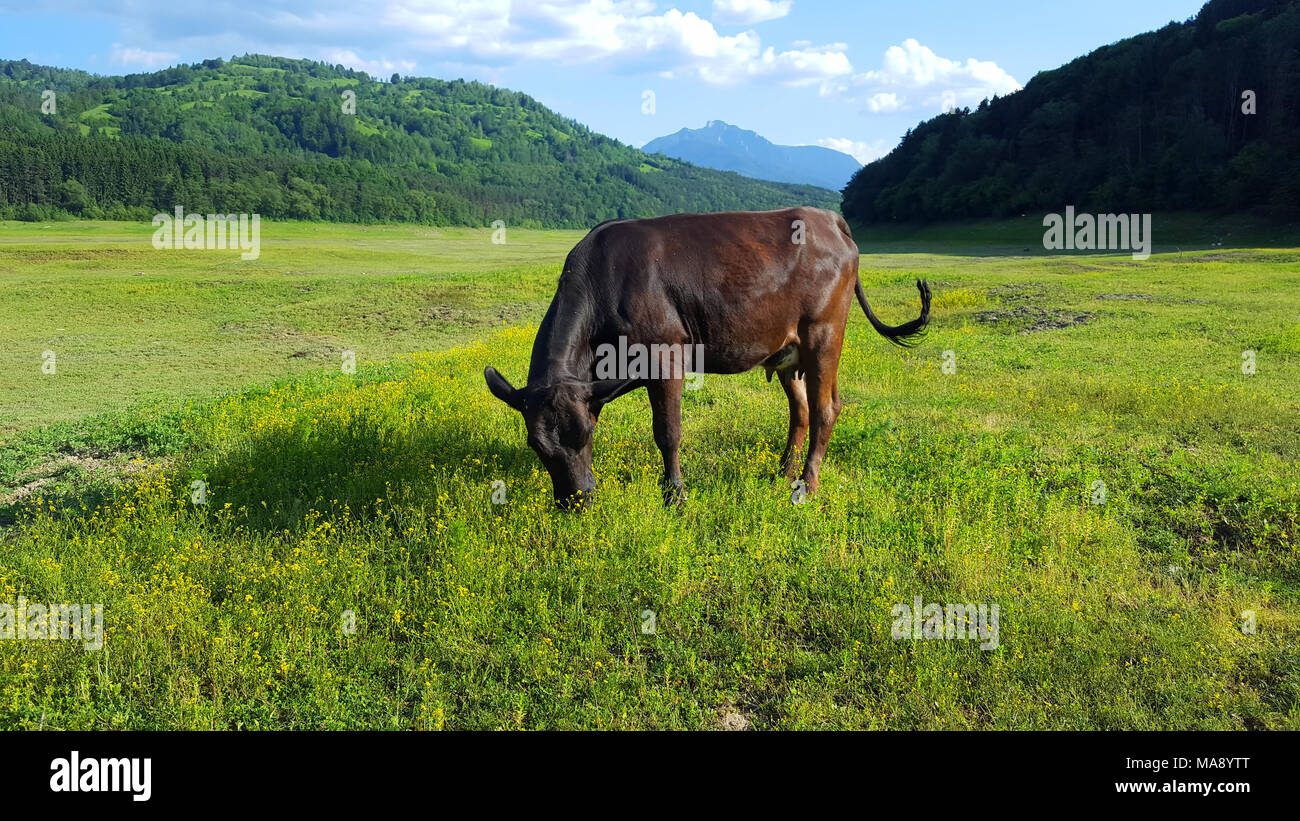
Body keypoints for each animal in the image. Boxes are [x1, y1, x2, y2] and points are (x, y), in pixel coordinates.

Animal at [484, 207, 931, 508]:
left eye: (585, 435)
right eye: (537, 446)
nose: (576, 501)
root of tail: (827, 218)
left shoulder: (666, 355)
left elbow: (668, 432)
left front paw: (674, 497)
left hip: (823, 334)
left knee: (826, 409)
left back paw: (806, 486)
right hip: (788, 351)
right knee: (801, 410)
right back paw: (782, 473)